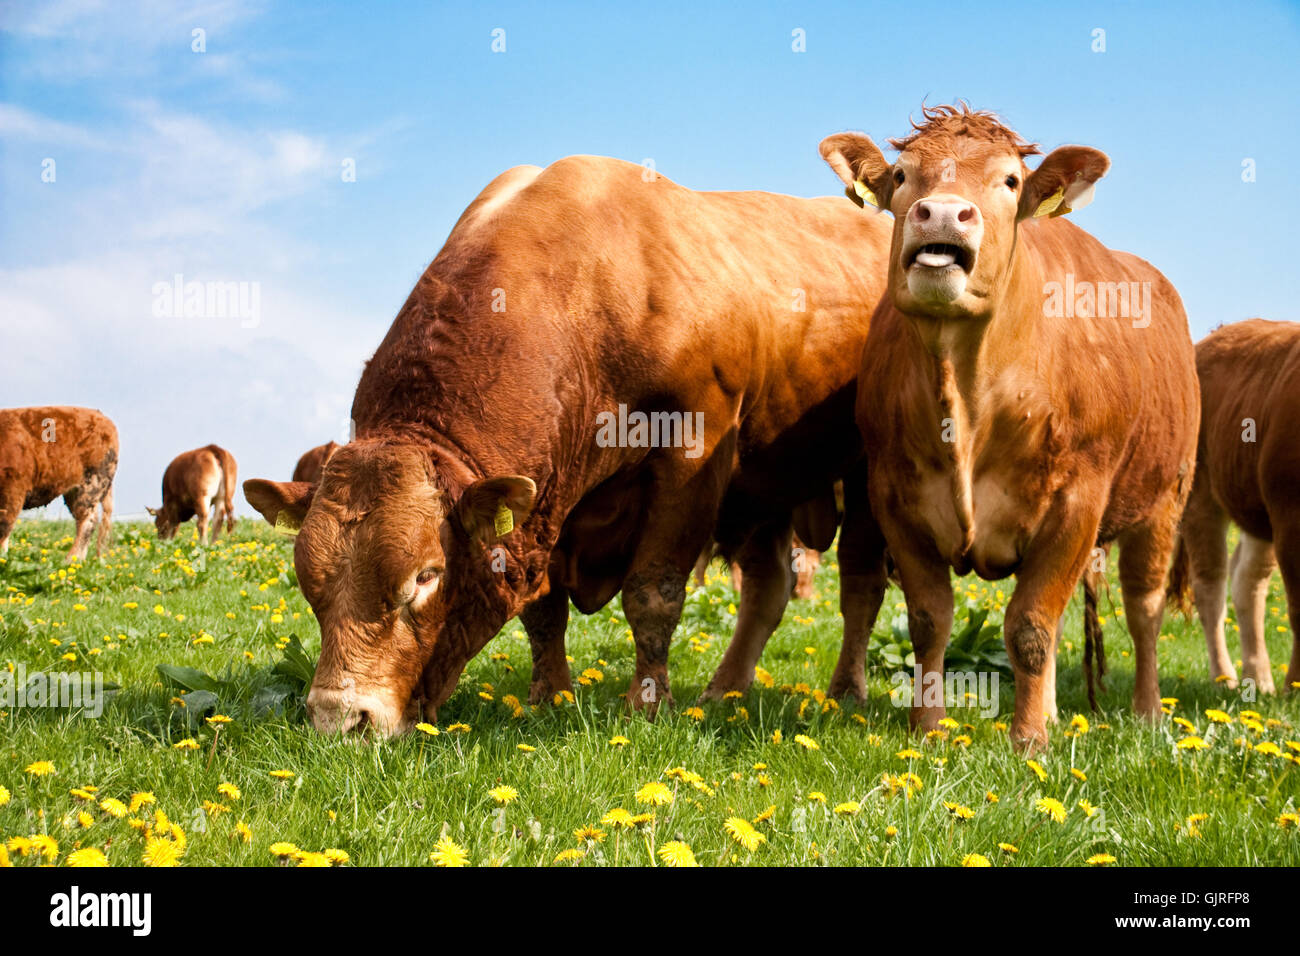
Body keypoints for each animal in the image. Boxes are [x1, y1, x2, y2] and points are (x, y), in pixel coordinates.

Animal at [0, 406, 117, 562]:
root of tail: (100, 416)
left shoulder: (13, 489)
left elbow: (4, 526)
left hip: (91, 483)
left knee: (88, 521)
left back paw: (71, 559)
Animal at [243, 154, 892, 736]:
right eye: (309, 582)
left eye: (426, 576)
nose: (338, 717)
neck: (587, 297)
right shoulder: (548, 501)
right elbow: (543, 608)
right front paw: (550, 696)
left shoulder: (693, 458)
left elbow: (653, 593)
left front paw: (648, 704)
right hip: (766, 484)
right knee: (767, 588)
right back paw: (725, 690)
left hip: (866, 478)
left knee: (860, 586)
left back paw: (845, 692)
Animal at [819, 104, 1199, 749]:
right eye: (901, 175)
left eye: (1011, 181)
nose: (943, 212)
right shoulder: (893, 496)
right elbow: (930, 621)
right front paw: (928, 727)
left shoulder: (1077, 502)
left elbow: (1031, 627)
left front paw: (1028, 742)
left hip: (1165, 500)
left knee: (1143, 609)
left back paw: (1146, 712)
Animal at [1169, 318, 1300, 695]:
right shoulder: (1291, 521)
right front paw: (1295, 685)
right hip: (1201, 499)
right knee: (1210, 585)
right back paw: (1225, 677)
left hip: (1255, 508)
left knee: (1247, 581)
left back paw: (1259, 678)